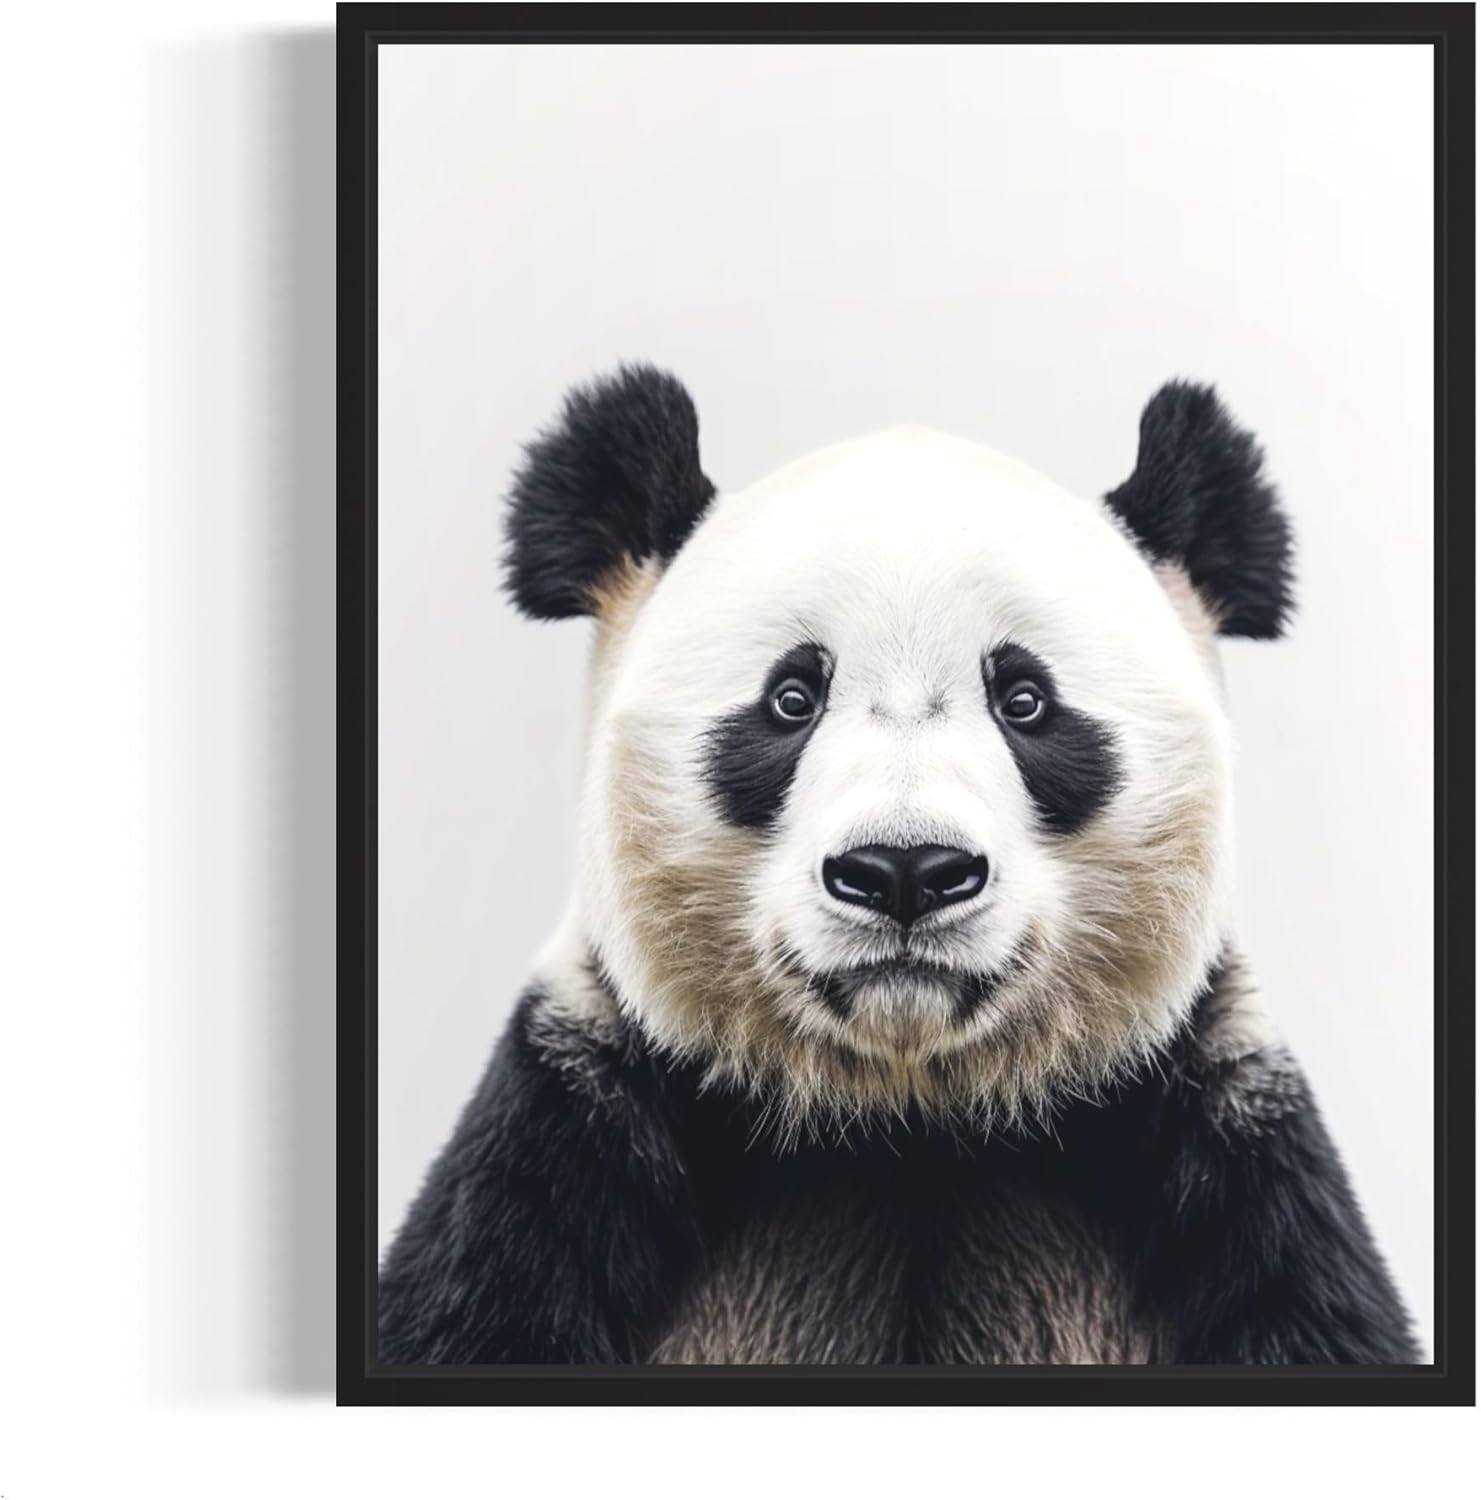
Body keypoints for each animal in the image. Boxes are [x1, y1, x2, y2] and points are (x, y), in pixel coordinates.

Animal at [378, 365, 1418, 1366]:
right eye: (790, 699)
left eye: (1026, 701)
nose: (907, 871)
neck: (907, 1121)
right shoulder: (576, 1124)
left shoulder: (1221, 1134)